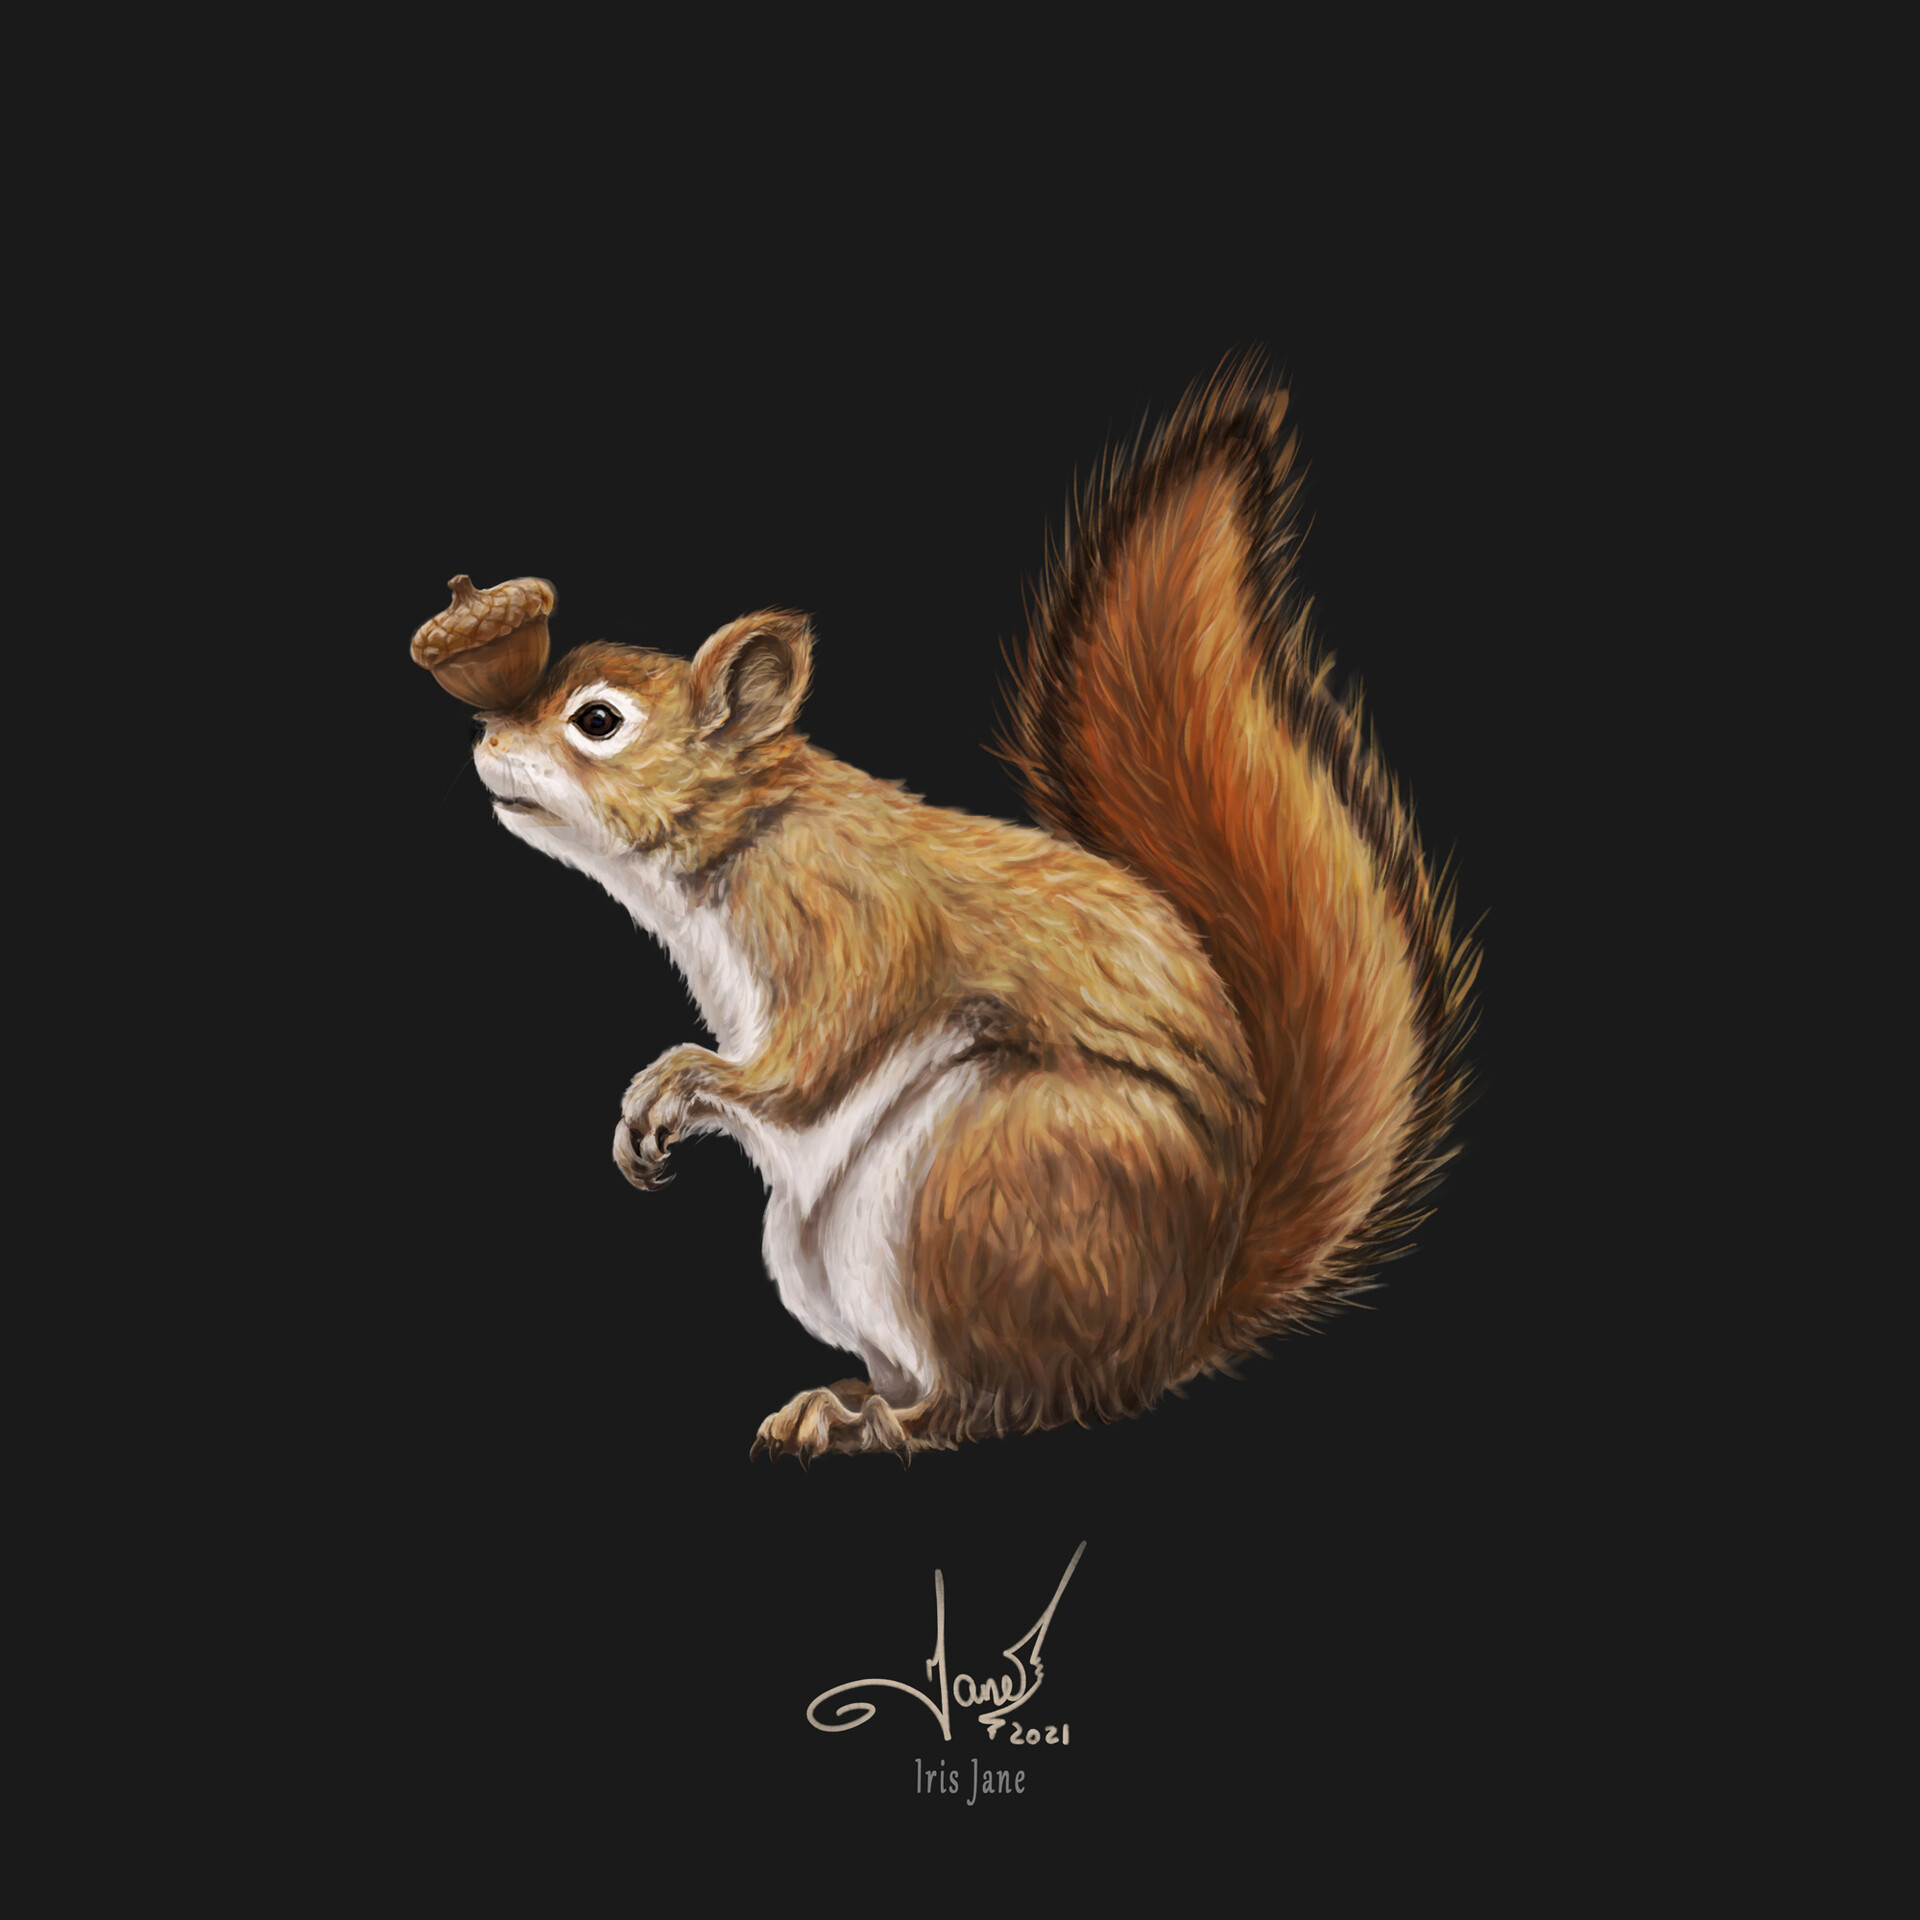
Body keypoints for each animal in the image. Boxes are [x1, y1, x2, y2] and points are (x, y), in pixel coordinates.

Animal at [430, 360, 1477, 1461]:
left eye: (597, 720)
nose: (483, 737)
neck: (749, 833)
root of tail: (1172, 1332)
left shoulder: (855, 923)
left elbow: (812, 1056)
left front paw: (682, 1081)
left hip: (989, 1181)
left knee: (1000, 1399)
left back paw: (876, 1425)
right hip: (829, 1246)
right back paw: (837, 1399)